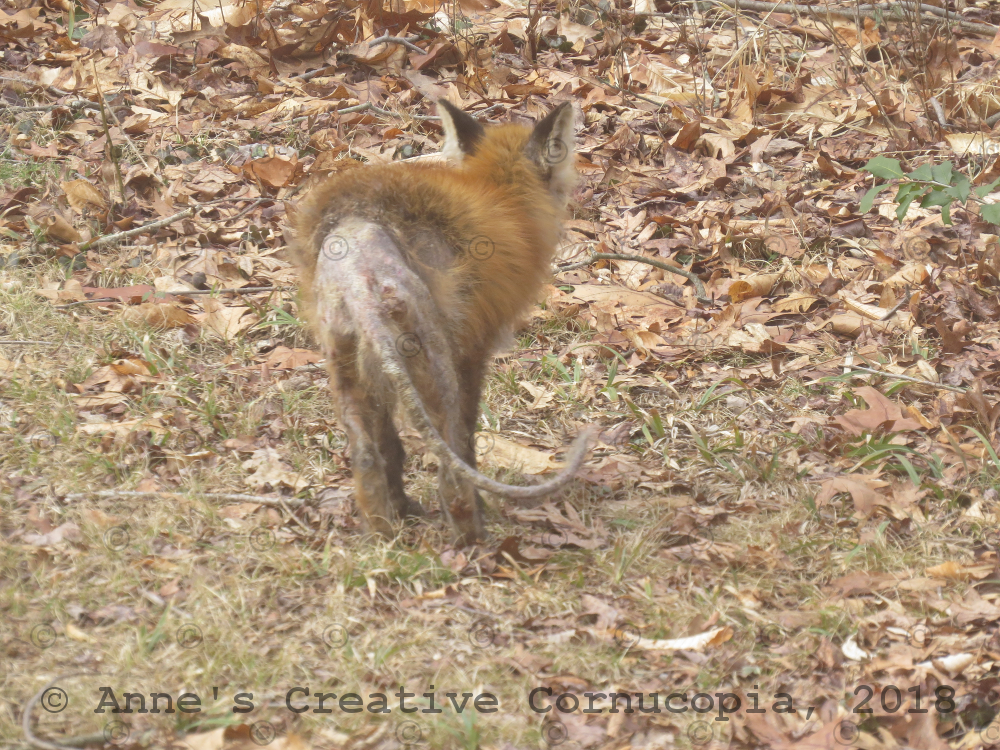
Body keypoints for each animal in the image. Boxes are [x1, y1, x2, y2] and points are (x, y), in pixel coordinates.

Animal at [290, 100, 594, 545]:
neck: (504, 197)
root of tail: (355, 245)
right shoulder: (473, 349)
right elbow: (468, 440)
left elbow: (390, 449)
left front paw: (400, 510)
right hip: (434, 370)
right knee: (450, 472)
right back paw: (476, 540)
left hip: (351, 372)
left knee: (366, 457)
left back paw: (384, 536)